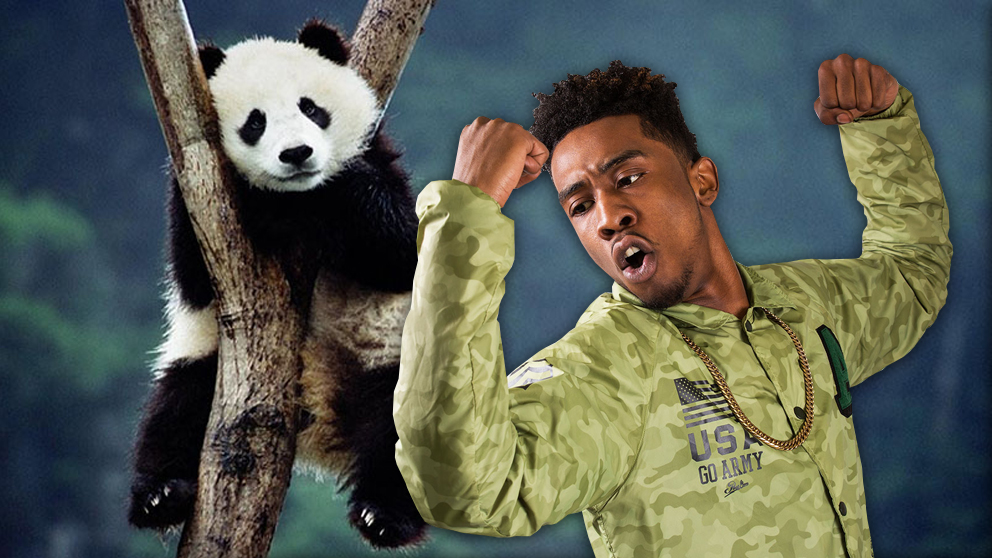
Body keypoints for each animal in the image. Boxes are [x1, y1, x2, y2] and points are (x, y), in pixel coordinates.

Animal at [127, 20, 427, 549]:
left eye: (311, 108)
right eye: (255, 123)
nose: (297, 154)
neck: (298, 199)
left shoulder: (380, 160)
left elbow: (399, 249)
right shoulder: (198, 194)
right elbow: (194, 277)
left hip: (402, 358)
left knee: (406, 434)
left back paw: (384, 515)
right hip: (208, 360)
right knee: (177, 404)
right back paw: (159, 495)